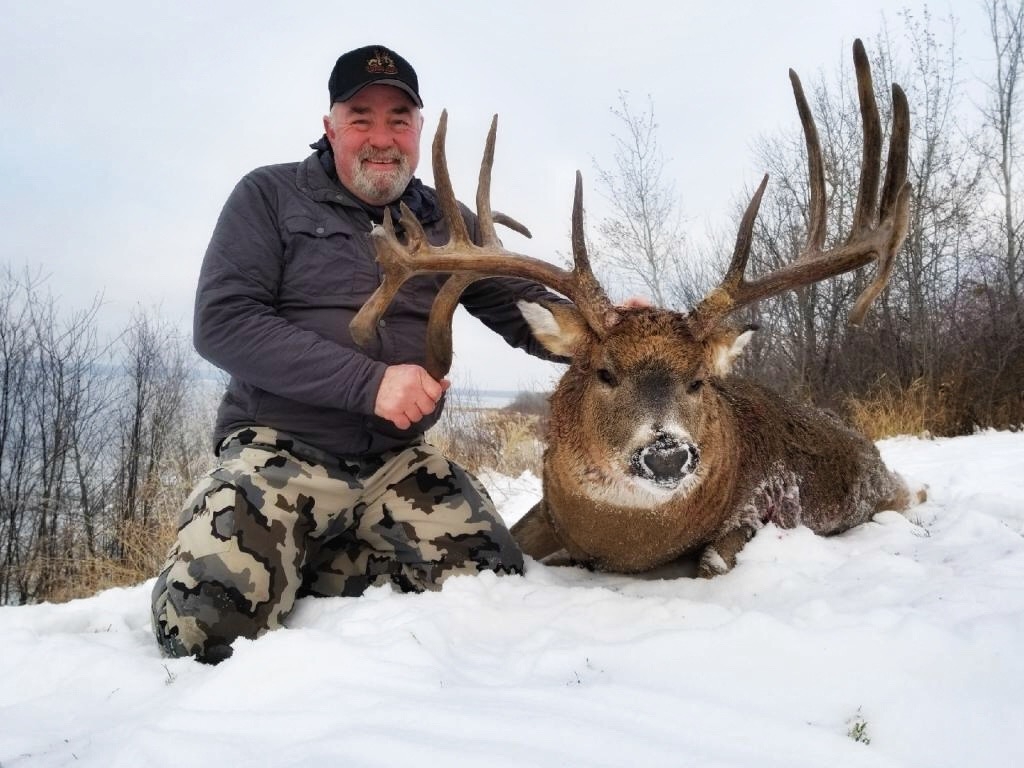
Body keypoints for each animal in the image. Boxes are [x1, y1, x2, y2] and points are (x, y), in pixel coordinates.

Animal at [350, 39, 920, 577]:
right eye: (605, 372)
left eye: (698, 380)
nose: (667, 453)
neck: (623, 544)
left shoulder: (759, 507)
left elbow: (713, 562)